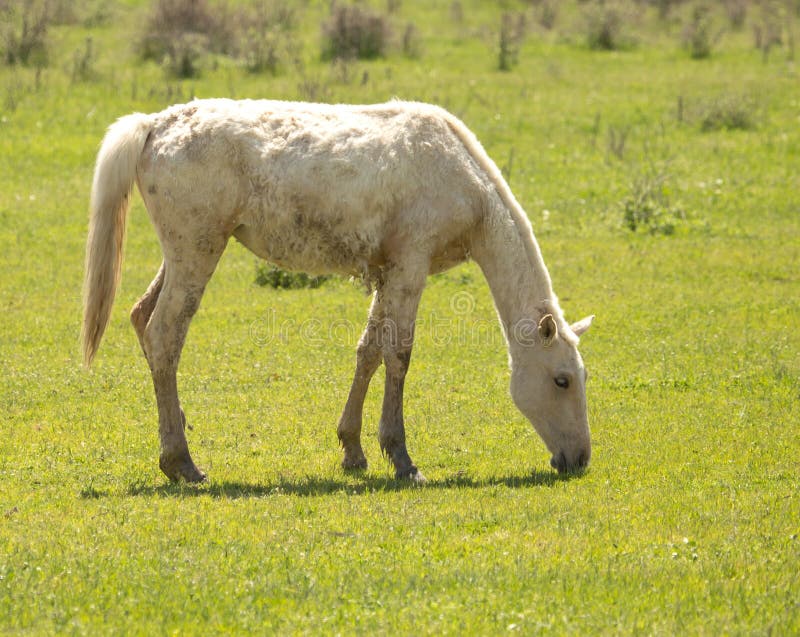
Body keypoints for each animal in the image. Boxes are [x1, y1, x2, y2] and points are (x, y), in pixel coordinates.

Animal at [82, 98, 594, 483]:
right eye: (561, 380)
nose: (580, 460)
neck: (462, 179)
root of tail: (154, 124)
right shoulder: (411, 267)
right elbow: (398, 355)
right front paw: (401, 458)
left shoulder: (389, 273)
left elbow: (369, 352)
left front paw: (353, 449)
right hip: (196, 253)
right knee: (164, 336)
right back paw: (181, 462)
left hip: (181, 257)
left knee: (142, 319)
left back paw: (177, 436)